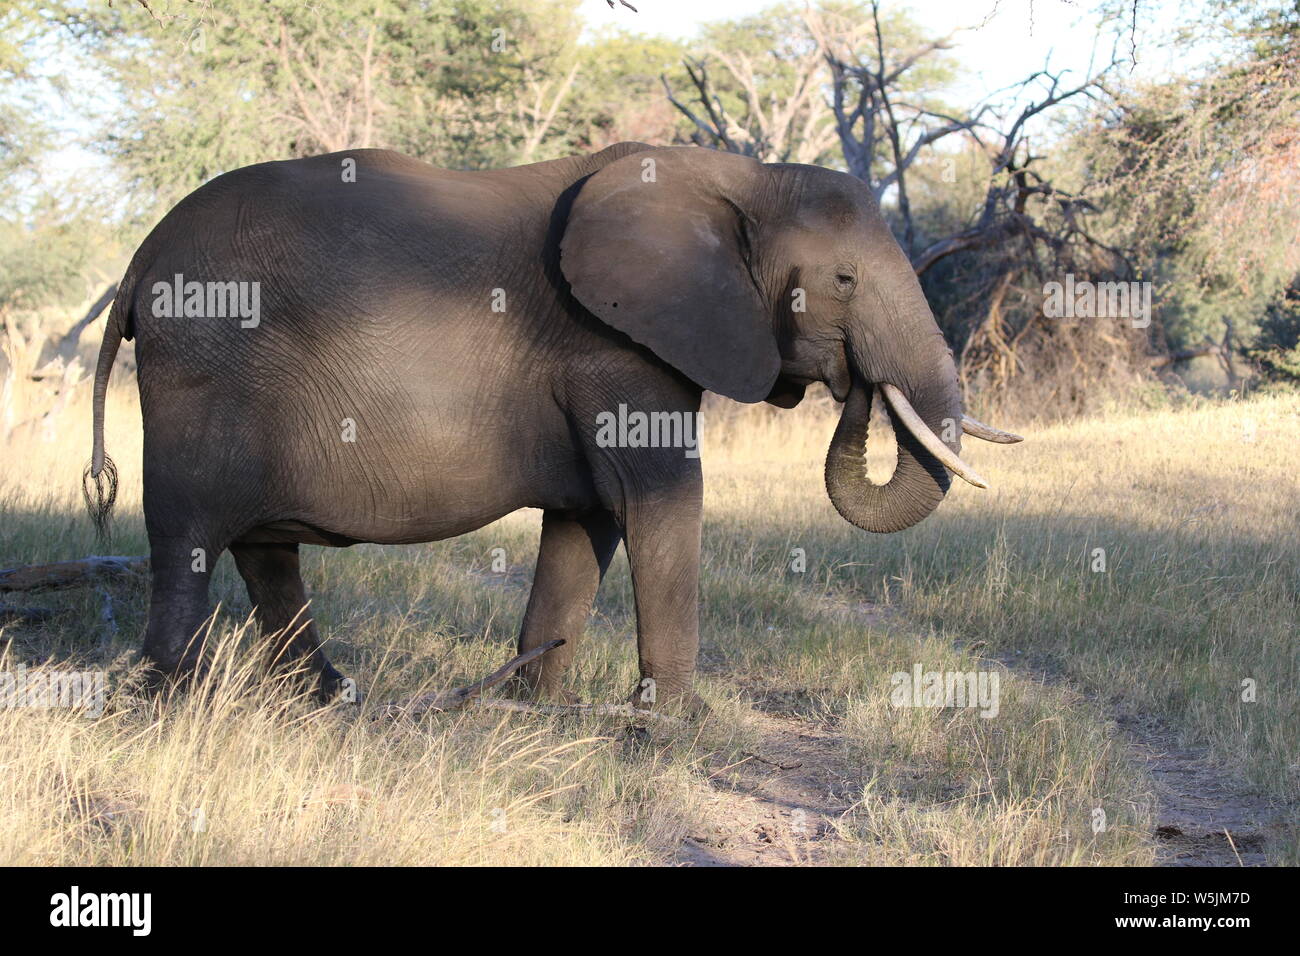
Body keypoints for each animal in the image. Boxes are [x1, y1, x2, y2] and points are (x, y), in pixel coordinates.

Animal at [85, 142, 1019, 713]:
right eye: (846, 280)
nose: (855, 384)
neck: (742, 177)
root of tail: (137, 260)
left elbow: (587, 521)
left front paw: (531, 706)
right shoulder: (611, 343)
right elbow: (660, 501)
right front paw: (675, 725)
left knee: (265, 552)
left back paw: (328, 700)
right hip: (204, 366)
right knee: (191, 540)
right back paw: (165, 704)